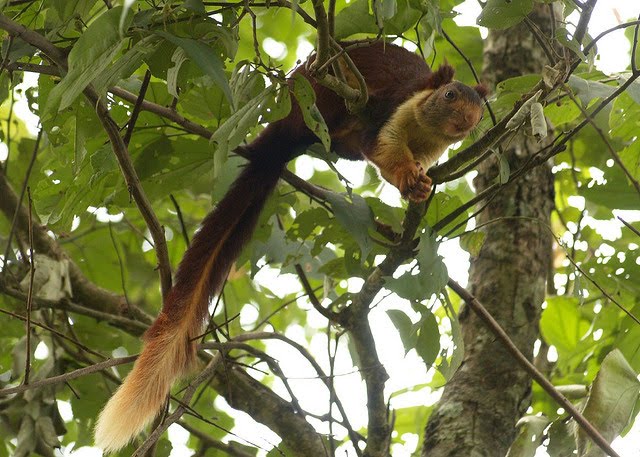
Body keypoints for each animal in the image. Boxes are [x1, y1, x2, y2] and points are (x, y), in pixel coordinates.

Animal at [94, 41, 487, 452]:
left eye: (479, 110)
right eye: (450, 95)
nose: (466, 122)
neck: (425, 132)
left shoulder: (431, 149)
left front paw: (420, 182)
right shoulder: (391, 111)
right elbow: (380, 148)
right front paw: (408, 177)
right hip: (310, 102)